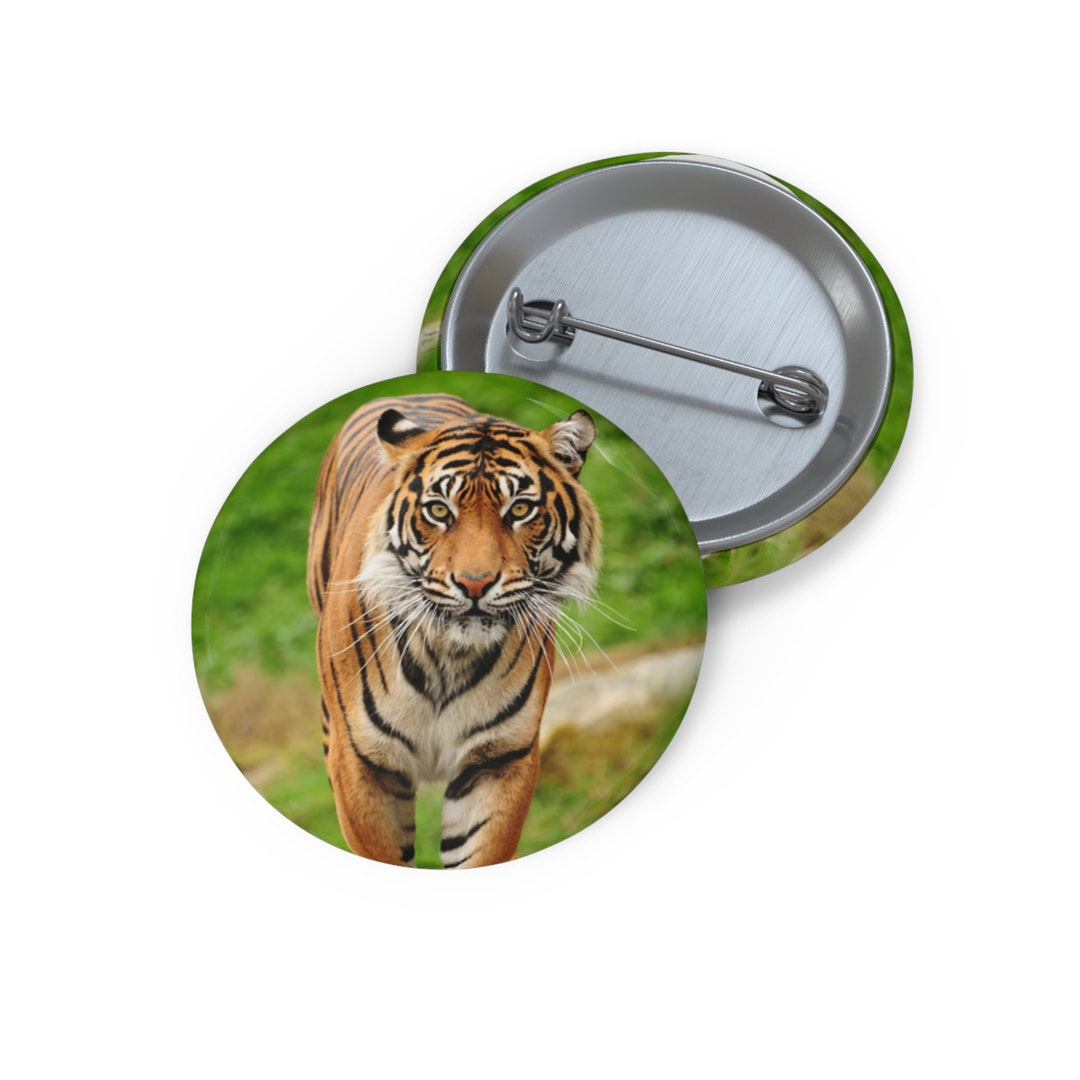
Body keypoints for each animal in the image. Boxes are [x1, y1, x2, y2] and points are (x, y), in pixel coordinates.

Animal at [306, 392, 601, 868]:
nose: (475, 583)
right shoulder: (361, 764)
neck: (447, 655)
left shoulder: (500, 758)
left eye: (521, 509)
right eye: (439, 511)